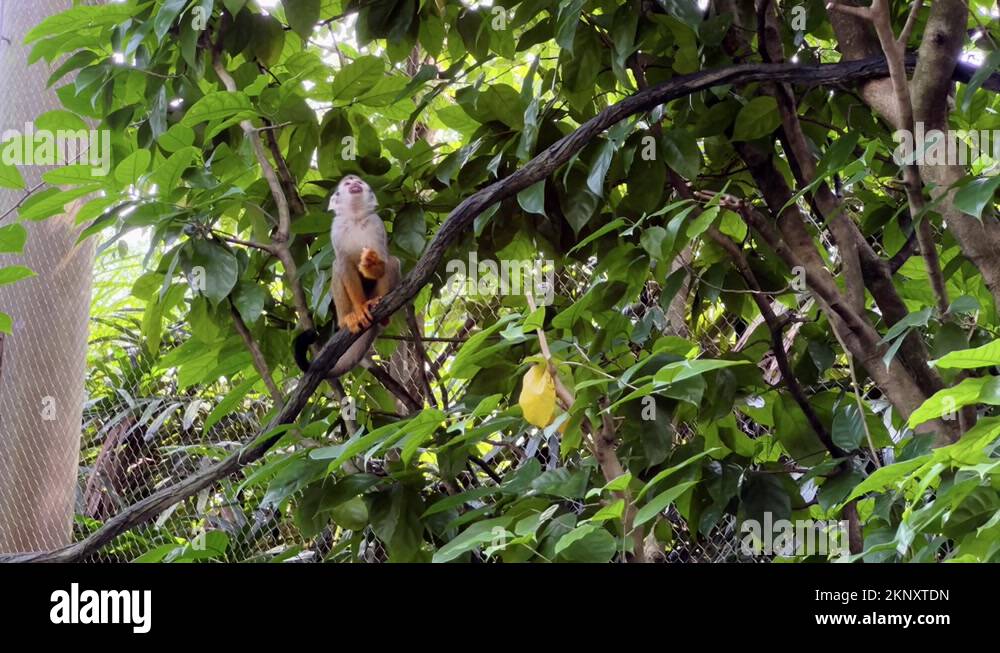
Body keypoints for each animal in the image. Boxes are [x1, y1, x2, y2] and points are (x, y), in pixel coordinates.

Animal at [294, 175, 400, 377]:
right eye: (347, 184)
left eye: (359, 182)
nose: (354, 183)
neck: (356, 217)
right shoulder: (336, 230)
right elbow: (345, 266)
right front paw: (360, 308)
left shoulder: (376, 223)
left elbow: (383, 261)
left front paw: (370, 264)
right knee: (337, 267)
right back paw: (347, 318)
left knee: (392, 261)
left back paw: (382, 312)